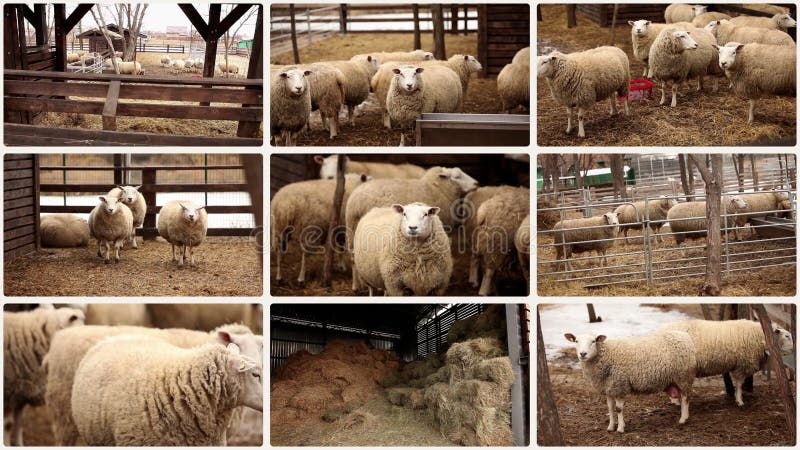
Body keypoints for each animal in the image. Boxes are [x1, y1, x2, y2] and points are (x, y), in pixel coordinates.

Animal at [3, 305, 85, 446]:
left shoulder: (20, 389)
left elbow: (19, 422)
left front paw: (19, 444)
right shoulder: (9, 390)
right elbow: (8, 424)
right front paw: (6, 444)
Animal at [345, 166, 478, 291]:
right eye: (457, 177)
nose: (476, 183)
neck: (438, 189)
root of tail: (356, 201)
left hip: (352, 230)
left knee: (353, 258)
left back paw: (356, 286)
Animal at [564, 331, 696, 432]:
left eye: (593, 341)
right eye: (576, 341)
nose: (583, 354)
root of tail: (684, 335)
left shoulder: (619, 386)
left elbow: (618, 409)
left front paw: (620, 428)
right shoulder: (608, 388)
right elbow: (610, 408)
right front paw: (610, 427)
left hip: (683, 376)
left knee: (686, 397)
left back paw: (683, 419)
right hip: (676, 379)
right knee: (682, 397)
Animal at [658, 319, 793, 406]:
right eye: (787, 336)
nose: (793, 348)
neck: (760, 335)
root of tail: (660, 330)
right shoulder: (742, 364)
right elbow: (739, 384)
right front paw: (739, 400)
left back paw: (675, 400)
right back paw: (676, 401)